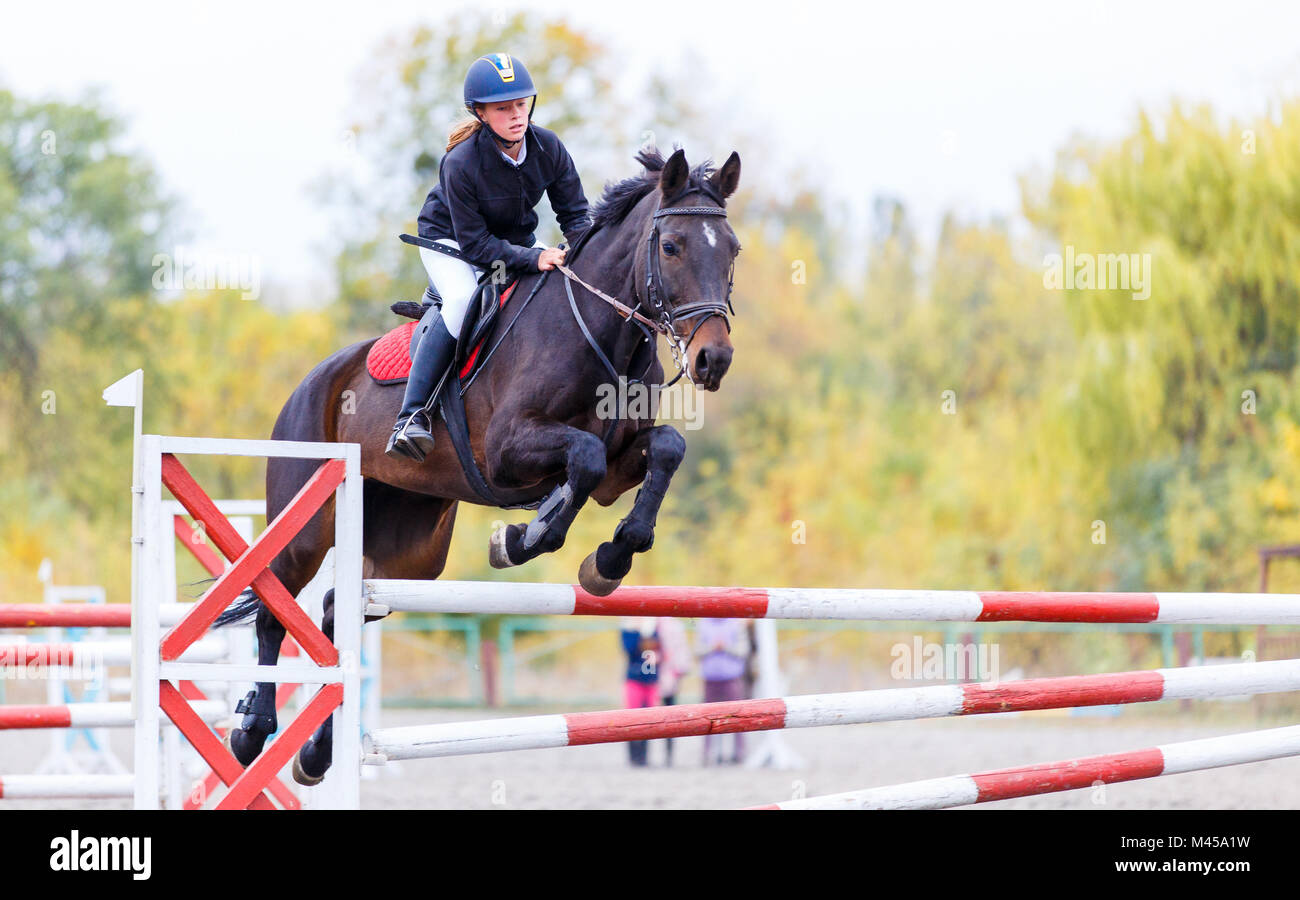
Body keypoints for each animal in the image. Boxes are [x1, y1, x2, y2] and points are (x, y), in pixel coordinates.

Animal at [217, 146, 742, 785]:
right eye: (671, 246)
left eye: (733, 248)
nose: (713, 359)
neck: (601, 333)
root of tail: (311, 382)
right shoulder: (509, 450)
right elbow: (583, 460)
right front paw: (522, 538)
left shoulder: (620, 466)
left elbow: (664, 449)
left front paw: (609, 559)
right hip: (307, 525)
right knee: (276, 609)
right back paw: (252, 732)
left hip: (410, 552)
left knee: (339, 612)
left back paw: (316, 754)